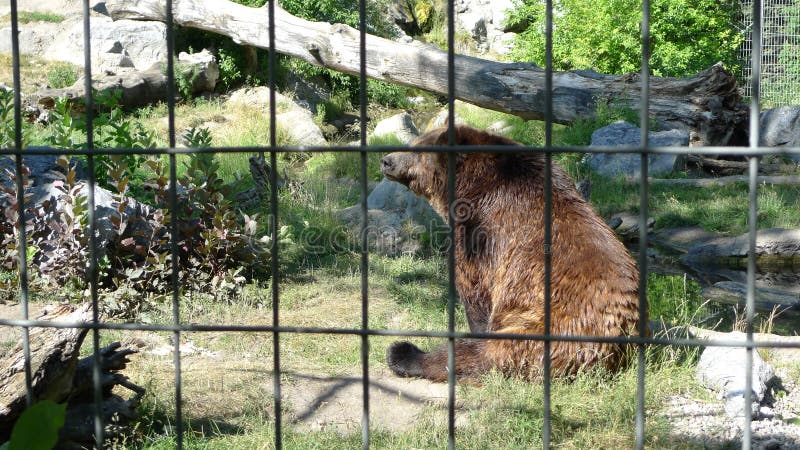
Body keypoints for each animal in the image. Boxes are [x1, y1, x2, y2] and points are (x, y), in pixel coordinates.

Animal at [380, 124, 644, 382]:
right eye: (412, 143)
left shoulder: (482, 234)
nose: (386, 160)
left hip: (540, 331)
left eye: (417, 149)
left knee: (479, 352)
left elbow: (476, 293)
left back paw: (404, 352)